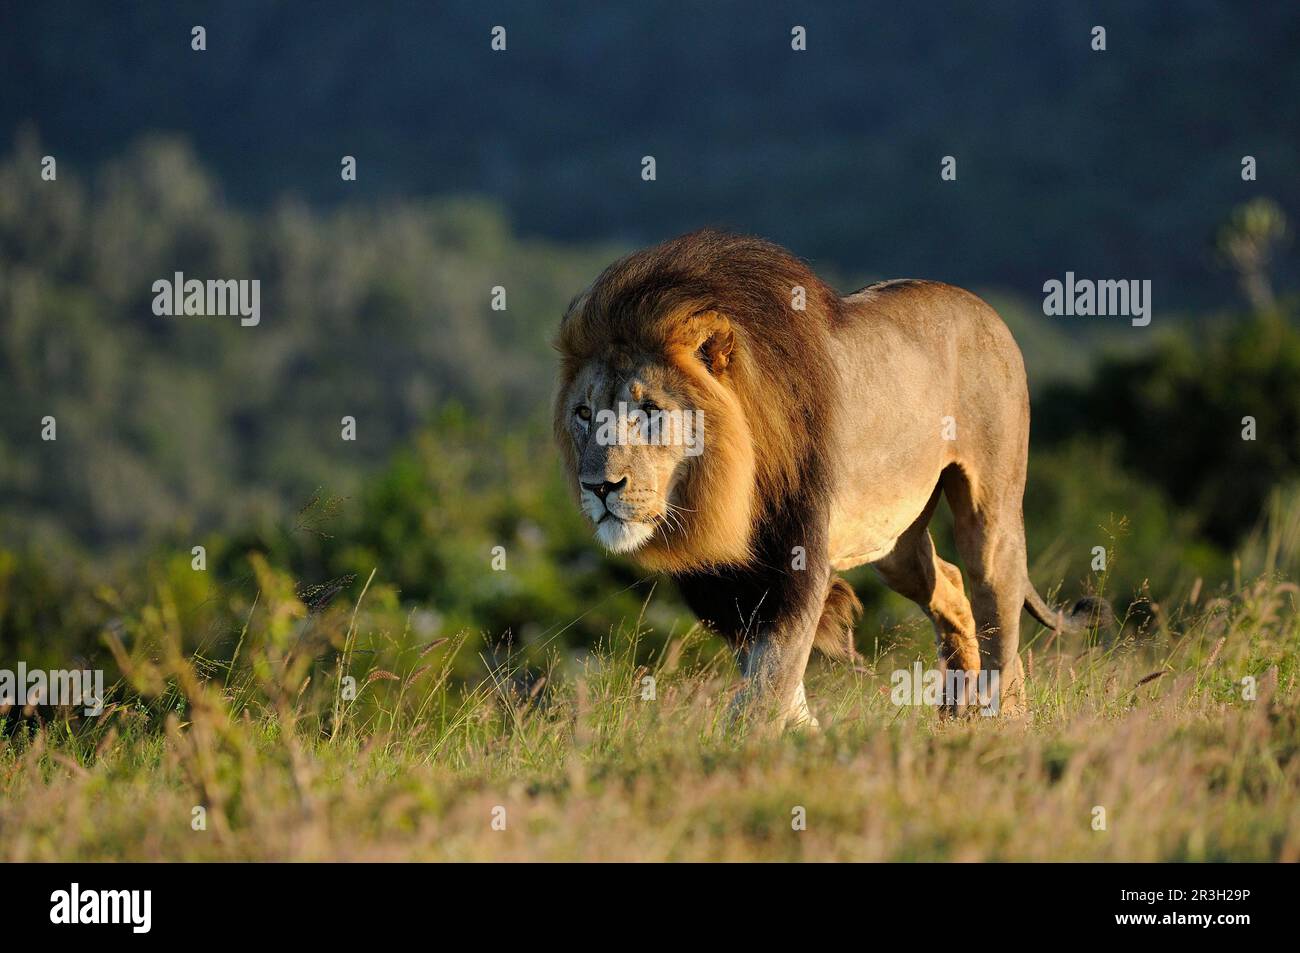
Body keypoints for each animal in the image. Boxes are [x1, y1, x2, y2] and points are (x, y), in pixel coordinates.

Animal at [554, 230, 1108, 730]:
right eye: (584, 414)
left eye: (650, 411)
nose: (599, 488)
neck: (721, 490)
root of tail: (981, 305)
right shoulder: (728, 582)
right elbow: (768, 677)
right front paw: (804, 735)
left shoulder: (801, 558)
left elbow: (770, 679)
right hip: (894, 545)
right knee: (948, 584)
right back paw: (954, 715)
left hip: (990, 512)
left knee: (998, 612)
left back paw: (1004, 717)